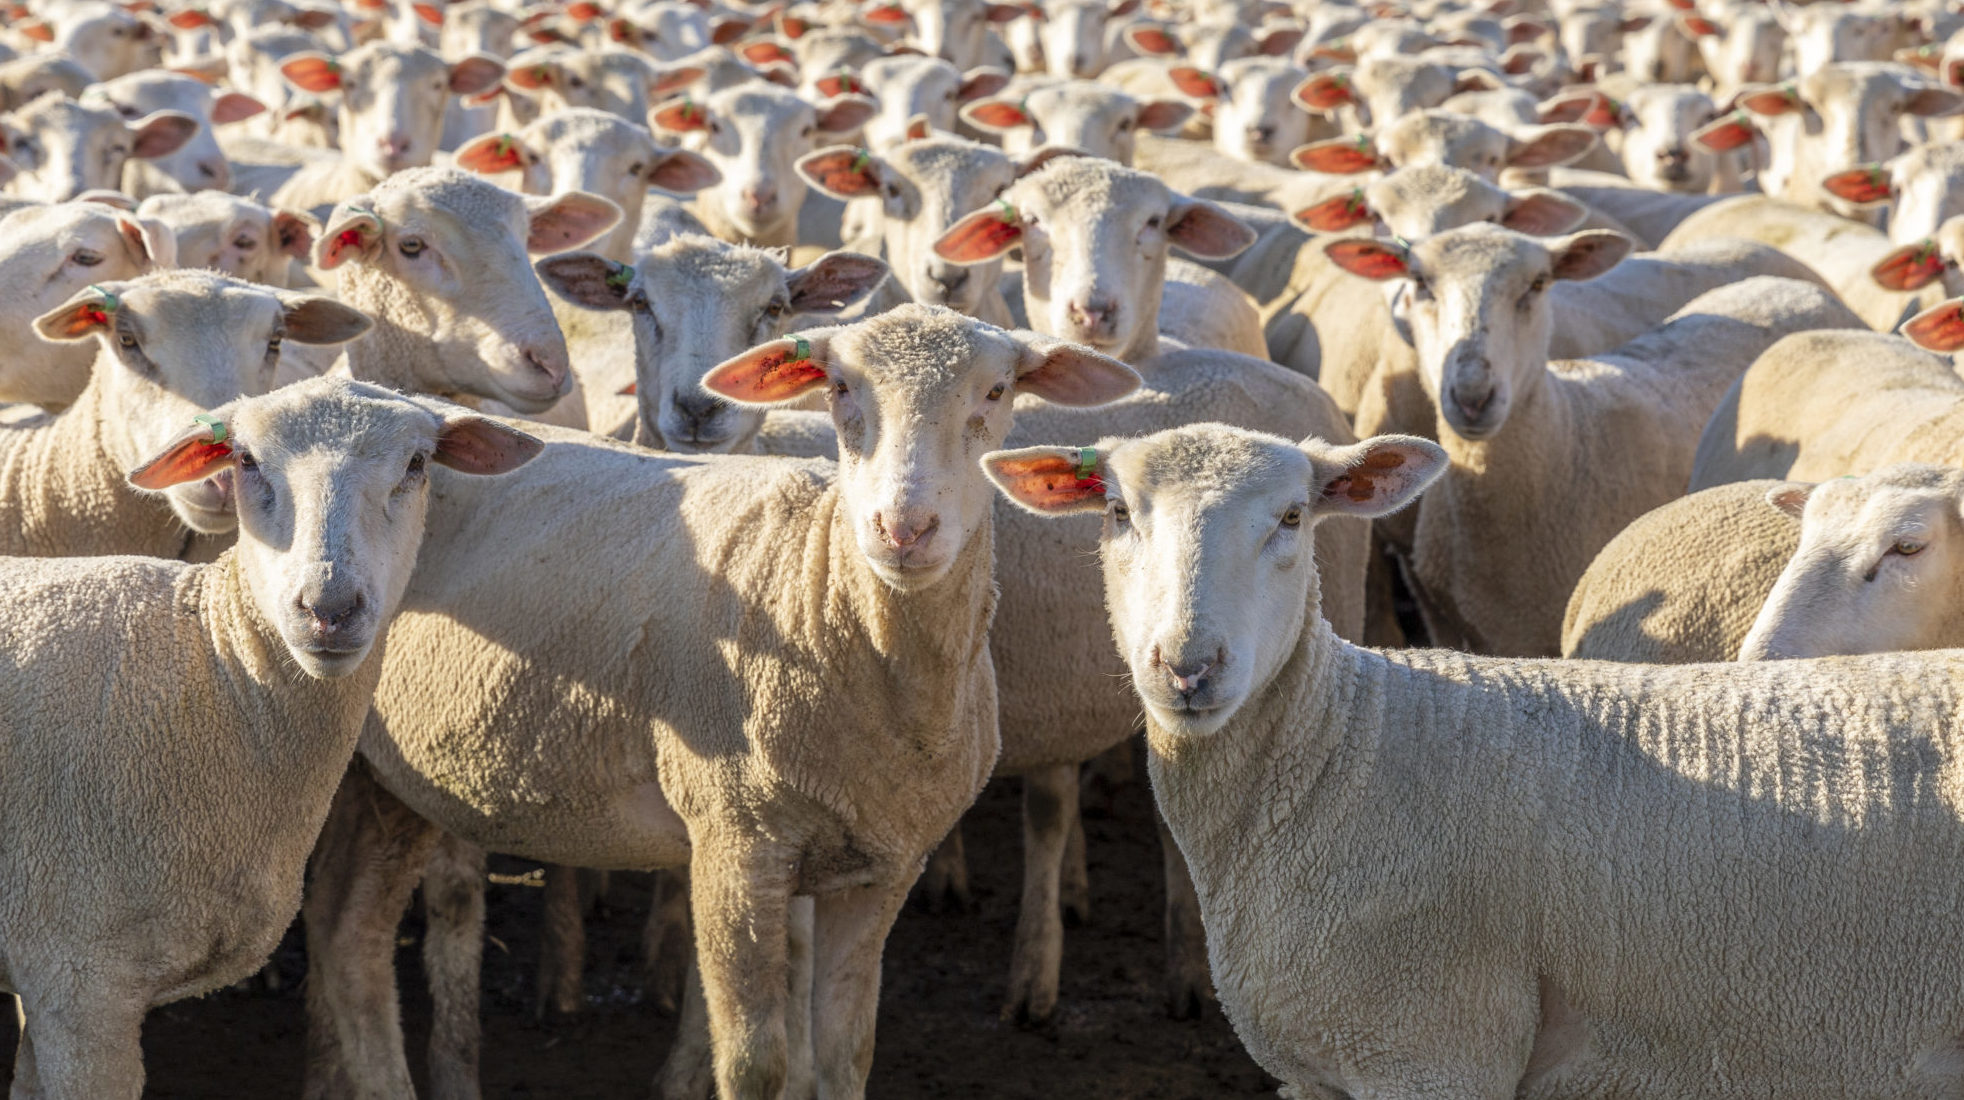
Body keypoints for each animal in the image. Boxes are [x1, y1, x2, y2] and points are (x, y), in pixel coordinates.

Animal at [0, 375, 540, 1100]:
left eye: (417, 464)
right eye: (247, 461)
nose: (329, 609)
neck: (211, 669)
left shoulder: (54, 981)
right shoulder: (78, 978)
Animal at [297, 303, 1143, 1100]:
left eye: (997, 392)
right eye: (840, 389)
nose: (903, 529)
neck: (823, 591)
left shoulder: (884, 865)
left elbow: (847, 1056)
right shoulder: (737, 841)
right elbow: (754, 1063)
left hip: (391, 780)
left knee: (346, 933)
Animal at [984, 419, 1964, 1100]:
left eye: (1294, 517)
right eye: (1116, 513)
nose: (1188, 667)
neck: (1338, 752)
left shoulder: (1432, 1042)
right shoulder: (1318, 1068)